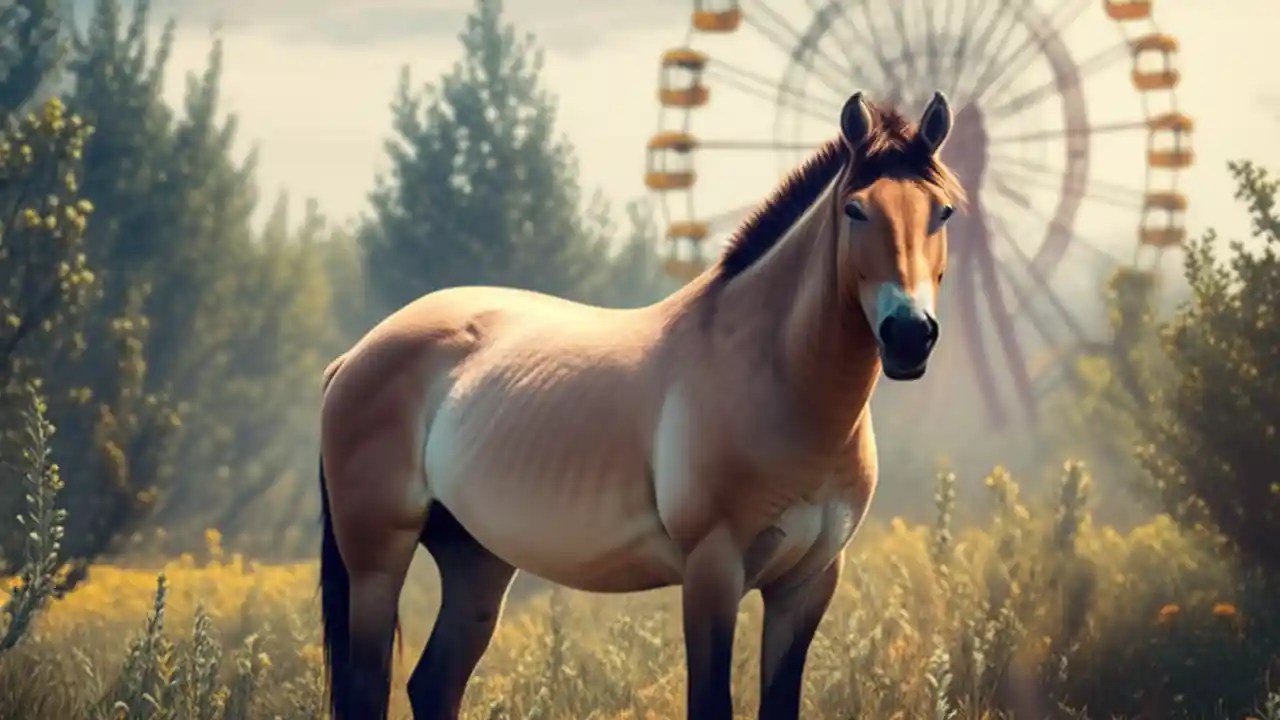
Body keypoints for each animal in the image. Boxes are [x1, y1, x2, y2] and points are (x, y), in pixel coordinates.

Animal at [317, 89, 965, 720]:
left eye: (943, 212)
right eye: (855, 209)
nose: (909, 334)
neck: (775, 381)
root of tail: (353, 356)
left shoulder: (808, 584)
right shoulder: (713, 571)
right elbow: (710, 703)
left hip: (476, 561)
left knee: (434, 685)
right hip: (377, 562)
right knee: (367, 691)